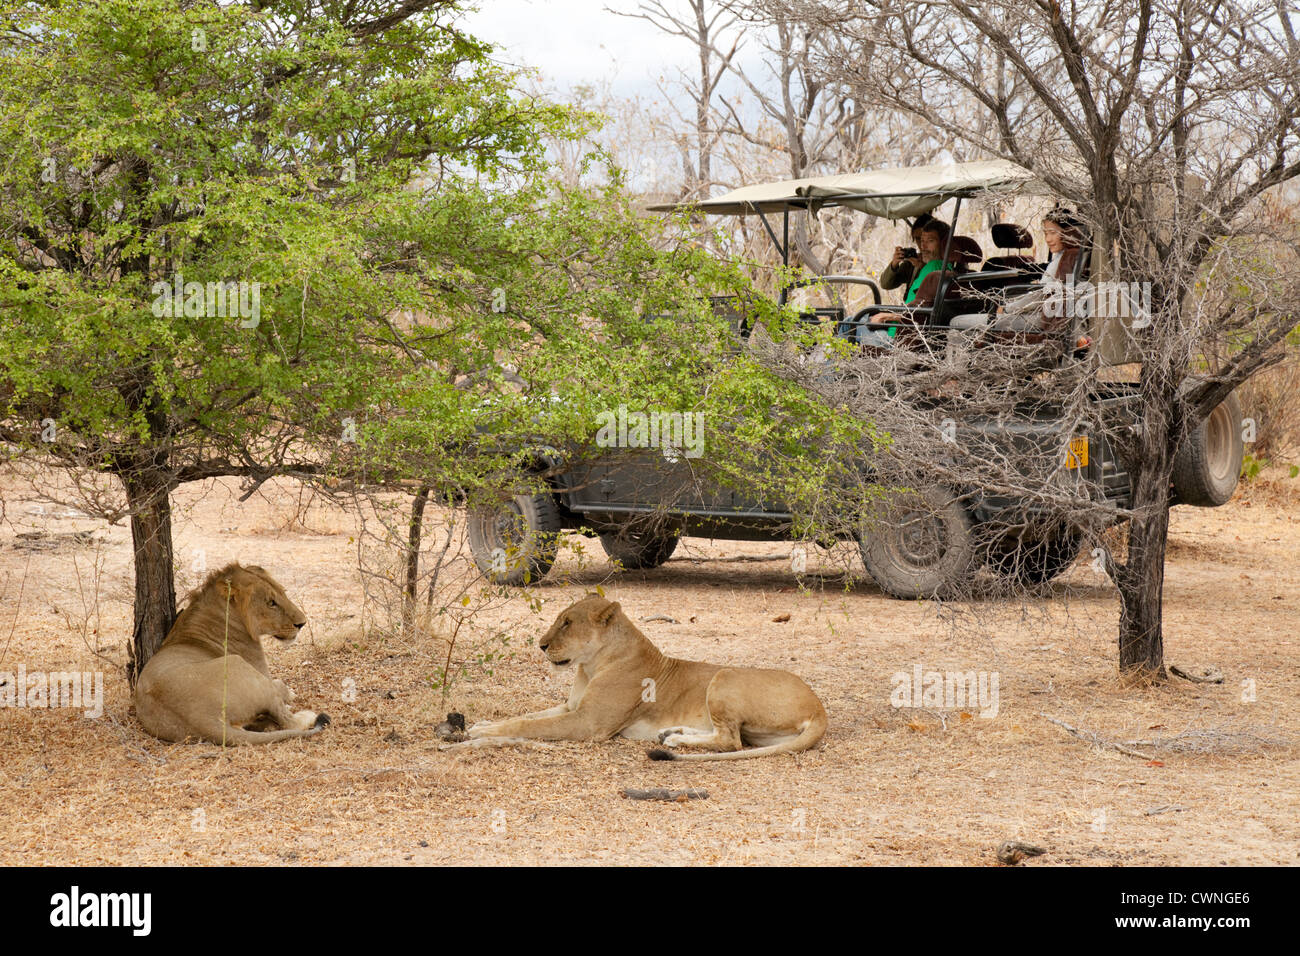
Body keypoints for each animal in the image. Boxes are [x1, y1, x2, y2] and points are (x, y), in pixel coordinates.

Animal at [134, 563, 330, 745]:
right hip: (241, 666)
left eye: (283, 593)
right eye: (271, 603)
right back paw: (306, 715)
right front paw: (290, 693)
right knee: (288, 720)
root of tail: (203, 721)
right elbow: (279, 684)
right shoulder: (263, 673)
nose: (302, 623)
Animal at [466, 595, 826, 761]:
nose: (541, 645)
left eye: (567, 623)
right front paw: (481, 725)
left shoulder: (588, 723)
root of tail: (819, 709)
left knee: (730, 741)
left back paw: (676, 741)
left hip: (725, 675)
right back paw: (672, 733)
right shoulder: (571, 708)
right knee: (729, 736)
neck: (590, 665)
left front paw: (477, 733)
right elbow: (526, 716)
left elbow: (528, 724)